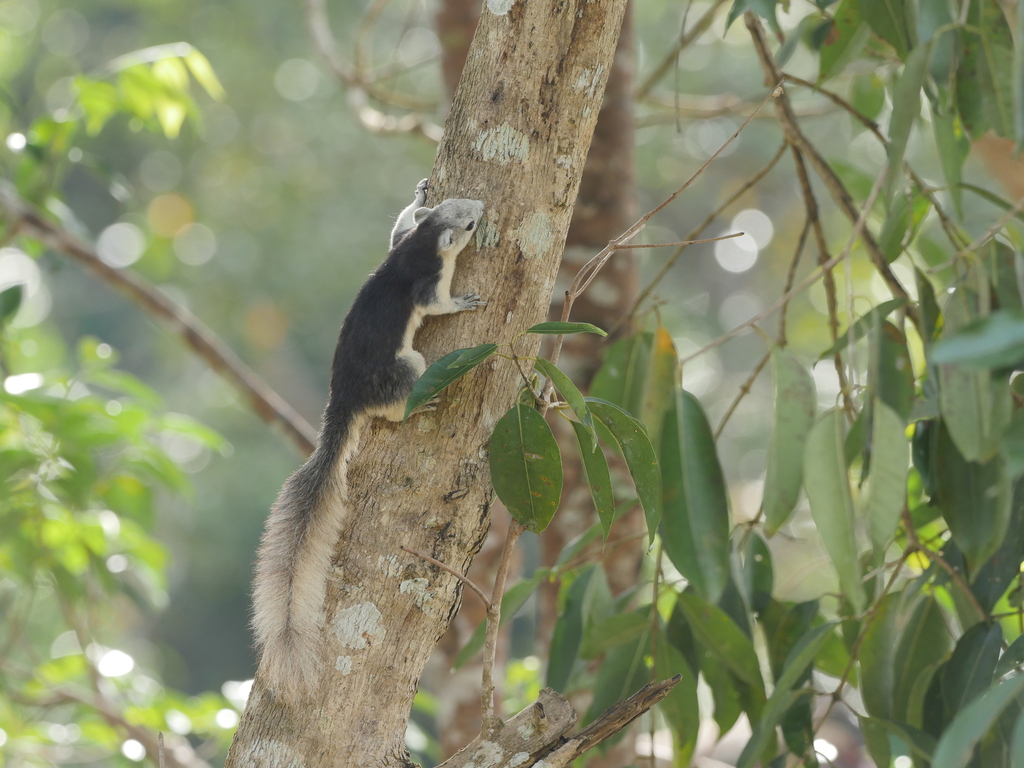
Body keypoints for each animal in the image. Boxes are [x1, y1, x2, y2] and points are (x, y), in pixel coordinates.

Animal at [251, 179, 486, 700]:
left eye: (457, 205)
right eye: (468, 224)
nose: (483, 205)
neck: (423, 245)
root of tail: (344, 399)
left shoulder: (400, 242)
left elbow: (397, 226)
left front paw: (418, 194)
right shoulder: (429, 280)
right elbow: (437, 302)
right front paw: (465, 302)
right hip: (408, 368)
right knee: (402, 401)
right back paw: (426, 403)